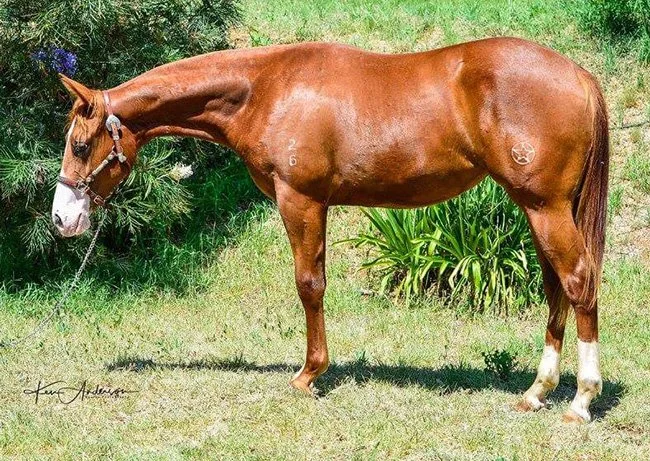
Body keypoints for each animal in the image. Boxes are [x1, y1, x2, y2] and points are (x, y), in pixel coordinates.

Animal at [51, 37, 609, 423]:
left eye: (80, 145)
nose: (62, 219)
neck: (266, 90)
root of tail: (579, 75)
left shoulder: (301, 200)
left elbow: (309, 284)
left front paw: (309, 374)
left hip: (545, 207)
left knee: (579, 281)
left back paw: (581, 399)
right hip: (540, 209)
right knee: (556, 288)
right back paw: (536, 392)